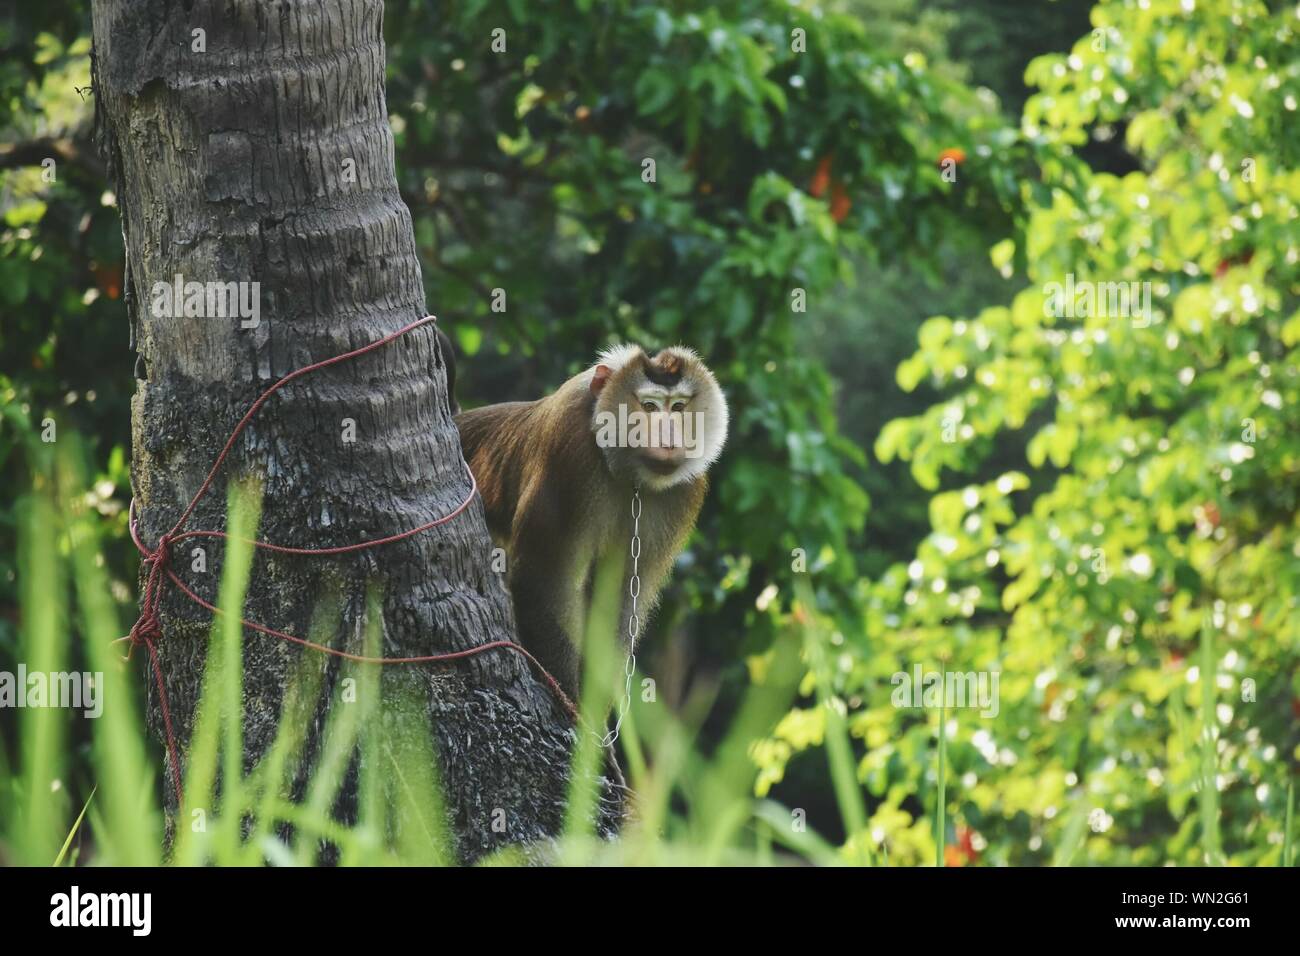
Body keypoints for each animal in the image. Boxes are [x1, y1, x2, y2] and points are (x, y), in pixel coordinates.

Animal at [453, 344, 728, 700]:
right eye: (649, 406)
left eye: (679, 407)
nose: (669, 438)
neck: (623, 469)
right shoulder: (568, 455)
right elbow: (542, 582)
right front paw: (573, 702)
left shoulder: (681, 492)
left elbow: (618, 601)